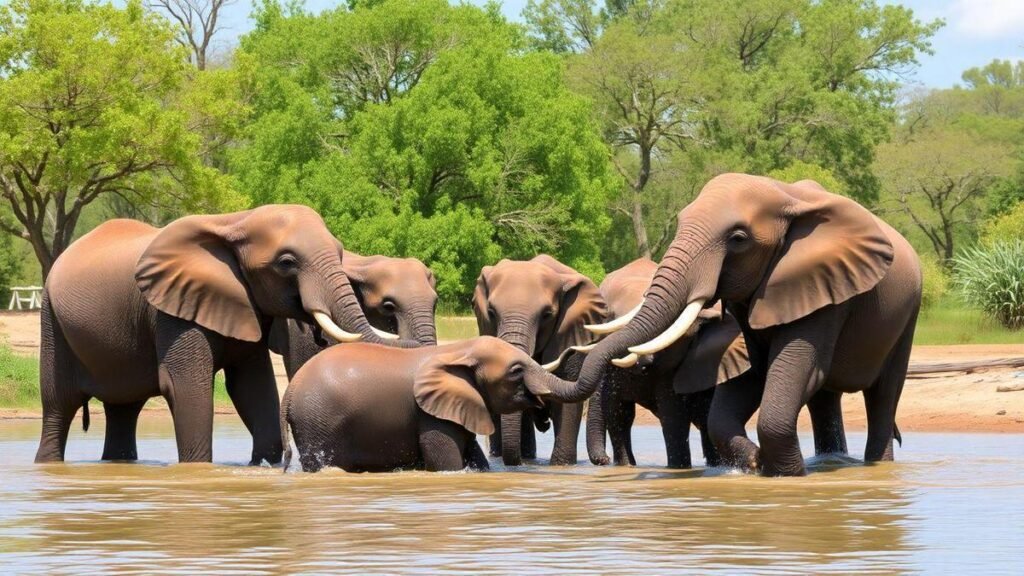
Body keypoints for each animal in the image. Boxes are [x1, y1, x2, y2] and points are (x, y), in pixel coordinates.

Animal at [36, 206, 397, 465]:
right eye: (286, 262)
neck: (234, 222)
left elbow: (252, 387)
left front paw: (262, 466)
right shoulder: (172, 310)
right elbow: (184, 385)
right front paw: (197, 470)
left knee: (124, 409)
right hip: (51, 317)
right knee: (59, 404)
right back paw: (48, 463)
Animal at [280, 336, 564, 472]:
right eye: (516, 371)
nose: (544, 417)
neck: (461, 349)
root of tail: (290, 391)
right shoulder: (431, 416)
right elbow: (446, 463)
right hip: (318, 424)